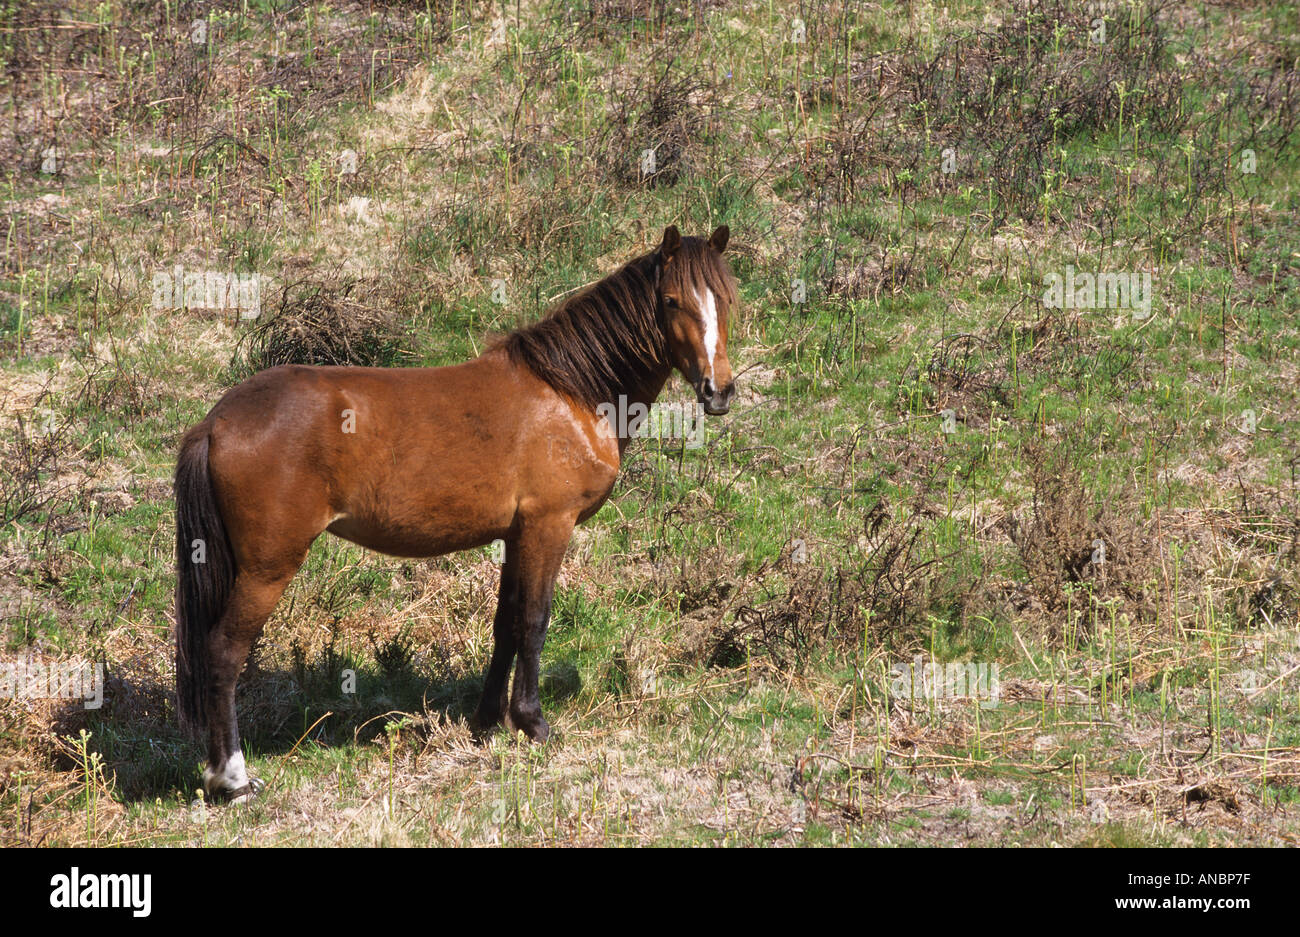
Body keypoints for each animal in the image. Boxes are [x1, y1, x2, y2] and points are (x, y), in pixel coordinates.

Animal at [174, 225, 738, 802]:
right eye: (670, 301)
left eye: (726, 299)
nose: (719, 390)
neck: (570, 393)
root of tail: (217, 422)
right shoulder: (548, 527)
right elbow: (534, 621)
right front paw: (533, 723)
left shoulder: (516, 536)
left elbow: (506, 624)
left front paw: (487, 722)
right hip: (268, 567)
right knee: (223, 652)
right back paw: (231, 778)